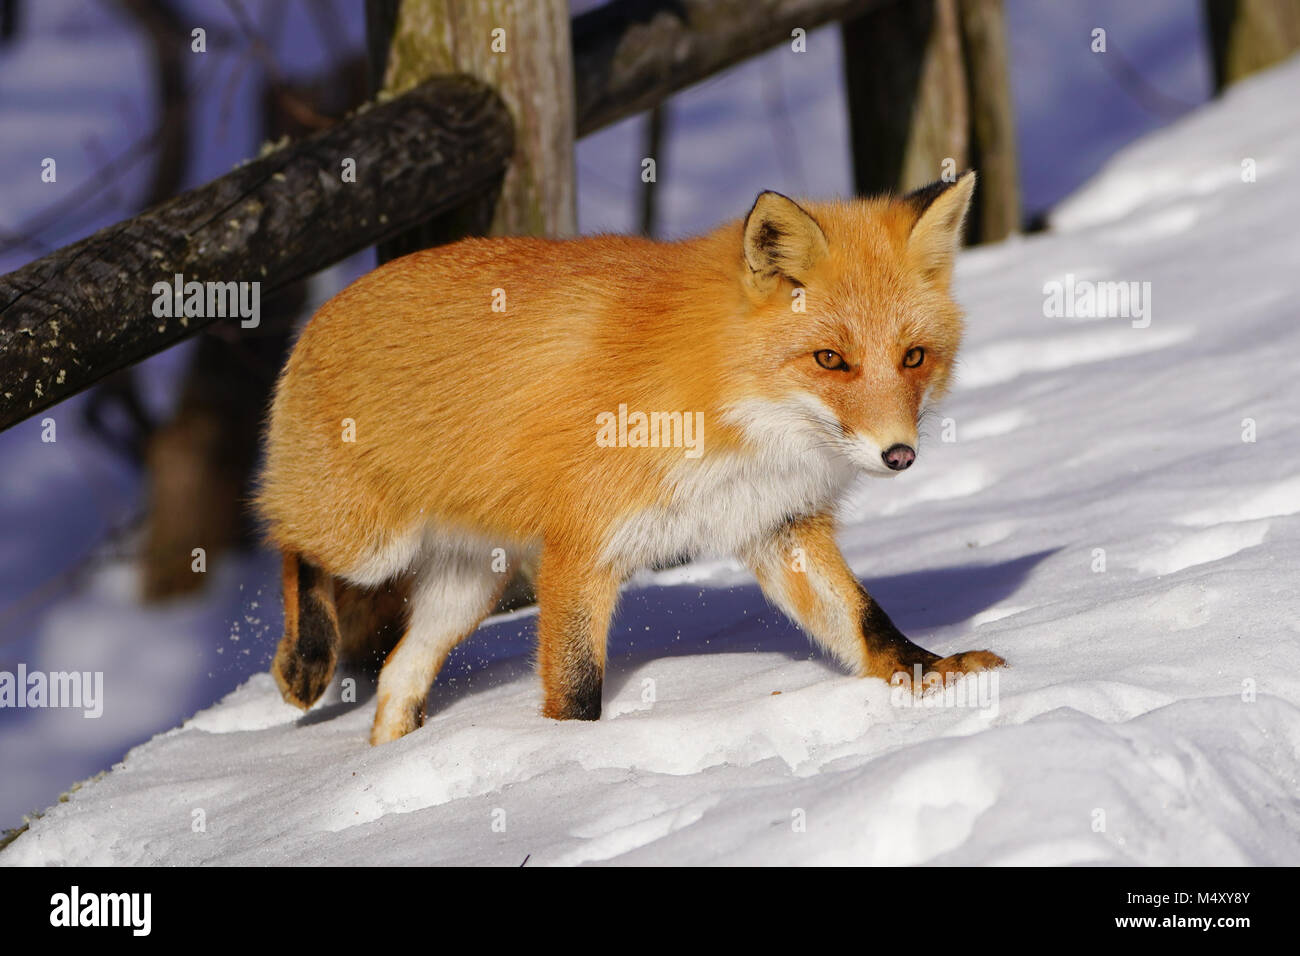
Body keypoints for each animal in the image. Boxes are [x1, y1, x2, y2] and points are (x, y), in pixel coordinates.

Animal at [255, 170, 1005, 745]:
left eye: (914, 357)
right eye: (830, 360)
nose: (899, 454)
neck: (731, 415)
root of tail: (318, 314)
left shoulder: (776, 523)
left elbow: (865, 620)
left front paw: (930, 674)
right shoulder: (581, 548)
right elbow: (576, 689)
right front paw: (571, 757)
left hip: (468, 586)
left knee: (398, 672)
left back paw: (392, 761)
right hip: (370, 544)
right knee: (289, 542)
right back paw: (305, 661)